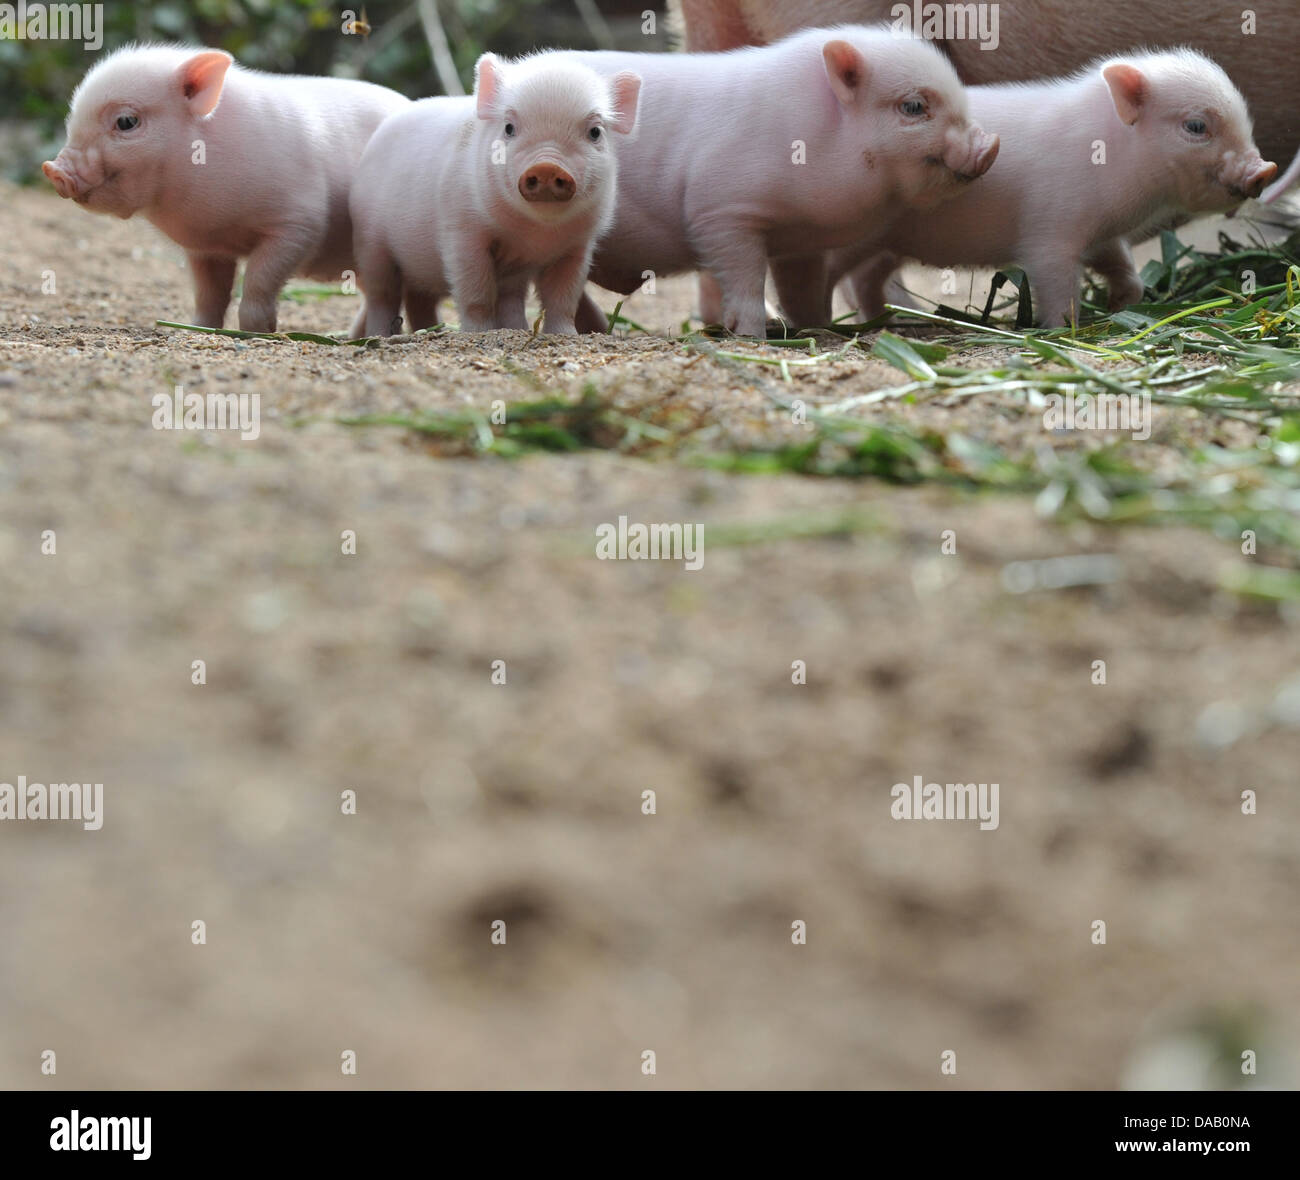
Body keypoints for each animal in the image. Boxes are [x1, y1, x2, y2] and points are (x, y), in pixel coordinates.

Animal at [42, 45, 410, 332]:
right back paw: (350, 336)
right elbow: (210, 295)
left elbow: (258, 281)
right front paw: (195, 328)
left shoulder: (299, 222)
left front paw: (260, 332)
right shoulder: (205, 248)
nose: (54, 170)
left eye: (126, 122)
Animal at [349, 53, 640, 337]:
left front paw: (565, 336)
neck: (536, 234)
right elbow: (475, 291)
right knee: (382, 295)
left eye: (595, 132)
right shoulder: (462, 231)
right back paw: (379, 336)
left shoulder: (577, 245)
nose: (547, 166)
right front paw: (479, 334)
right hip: (370, 243)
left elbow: (563, 297)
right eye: (509, 128)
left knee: (432, 299)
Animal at [565, 25, 998, 338]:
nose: (990, 144)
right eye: (913, 106)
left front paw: (814, 327)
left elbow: (802, 291)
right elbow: (745, 279)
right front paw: (753, 334)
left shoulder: (801, 242)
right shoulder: (720, 210)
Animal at [830, 50, 1277, 327]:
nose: (1265, 170)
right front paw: (1066, 328)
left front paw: (1122, 303)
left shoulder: (1103, 233)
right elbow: (1057, 281)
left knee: (864, 280)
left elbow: (1123, 266)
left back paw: (890, 321)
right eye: (1197, 126)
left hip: (886, 247)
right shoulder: (1051, 232)